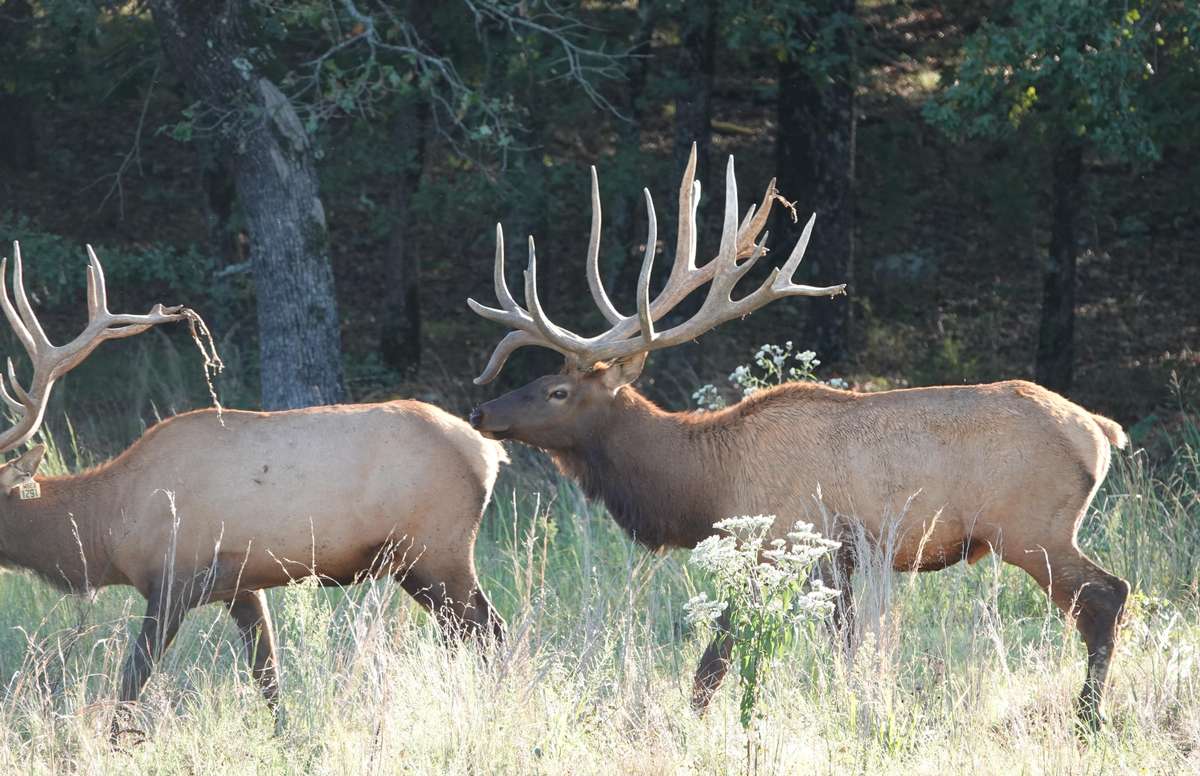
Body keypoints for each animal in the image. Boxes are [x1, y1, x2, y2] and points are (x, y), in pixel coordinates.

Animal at [0, 243, 507, 730]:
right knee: (466, 632)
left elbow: (133, 678)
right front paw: (287, 739)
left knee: (491, 629)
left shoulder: (174, 578)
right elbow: (267, 676)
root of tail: (488, 452)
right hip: (412, 564)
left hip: (441, 548)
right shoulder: (241, 587)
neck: (109, 528)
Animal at [465, 146, 1130, 730]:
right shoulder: (831, 558)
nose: (480, 410)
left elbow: (722, 659)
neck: (705, 483)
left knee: (1106, 595)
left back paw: (1088, 717)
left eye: (557, 391)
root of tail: (1101, 431)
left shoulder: (789, 540)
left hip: (1031, 526)